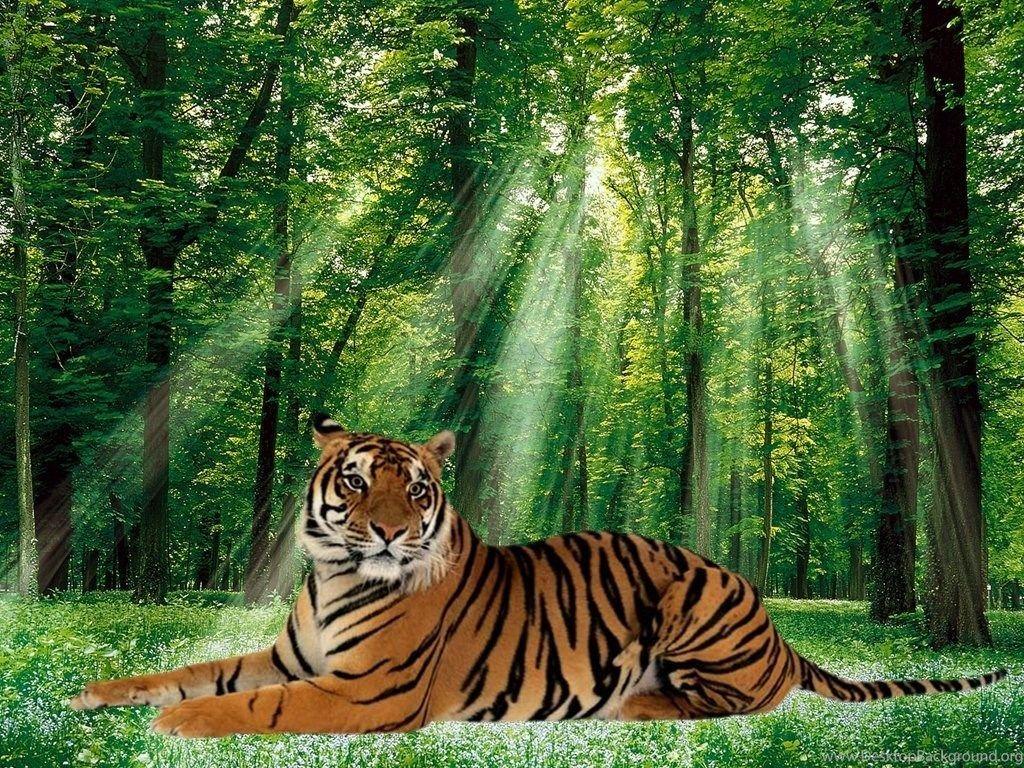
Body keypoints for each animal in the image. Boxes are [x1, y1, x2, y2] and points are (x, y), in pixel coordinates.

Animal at [69, 416, 1008, 737]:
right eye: (356, 482)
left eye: (416, 489)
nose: (390, 531)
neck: (333, 577)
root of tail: (776, 624)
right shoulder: (291, 658)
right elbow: (198, 670)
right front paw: (98, 694)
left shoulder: (364, 691)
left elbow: (250, 704)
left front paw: (175, 726)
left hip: (692, 598)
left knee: (742, 700)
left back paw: (636, 703)